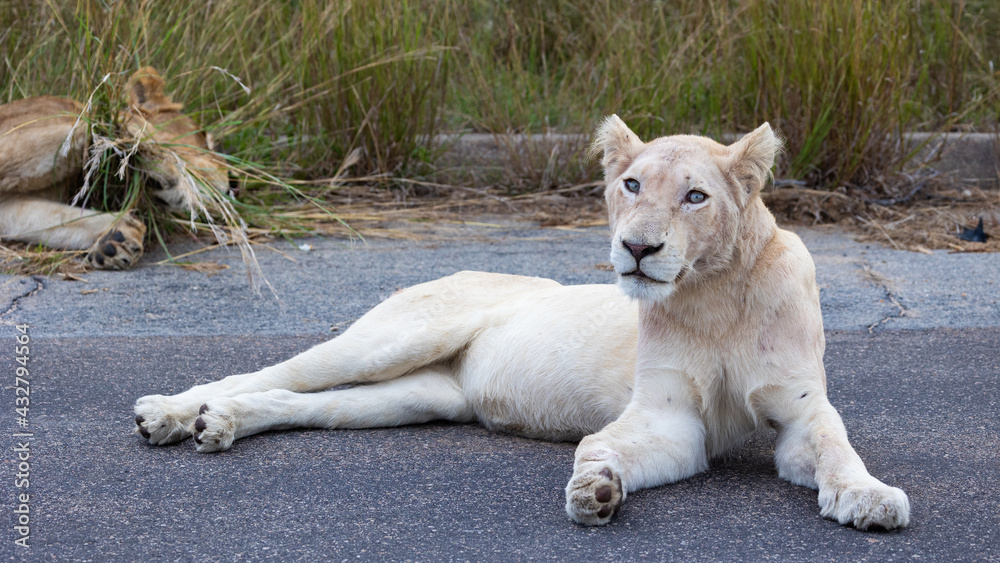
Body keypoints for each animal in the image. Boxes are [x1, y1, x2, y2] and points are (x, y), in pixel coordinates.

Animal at [133, 116, 910, 530]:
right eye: (631, 185)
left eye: (695, 196)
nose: (638, 248)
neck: (709, 294)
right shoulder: (665, 416)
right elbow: (605, 445)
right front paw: (596, 487)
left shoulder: (796, 413)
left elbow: (835, 448)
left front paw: (869, 498)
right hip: (394, 338)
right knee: (267, 371)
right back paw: (170, 413)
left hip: (418, 395)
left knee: (303, 402)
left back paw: (218, 424)